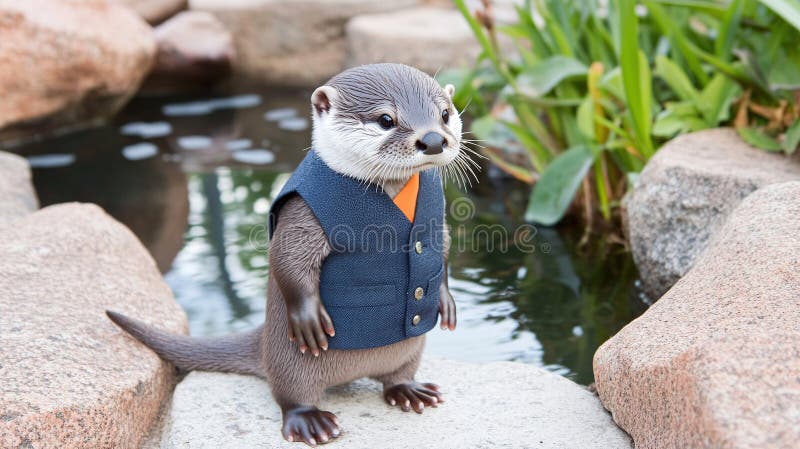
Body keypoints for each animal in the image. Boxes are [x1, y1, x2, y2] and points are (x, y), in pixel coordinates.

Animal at [106, 63, 474, 446]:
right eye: (386, 119)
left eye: (444, 114)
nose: (433, 139)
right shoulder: (304, 210)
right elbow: (288, 258)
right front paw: (308, 316)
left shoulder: (436, 222)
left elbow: (441, 250)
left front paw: (446, 301)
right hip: (291, 359)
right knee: (290, 392)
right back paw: (311, 421)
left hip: (412, 348)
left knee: (397, 374)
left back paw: (408, 390)